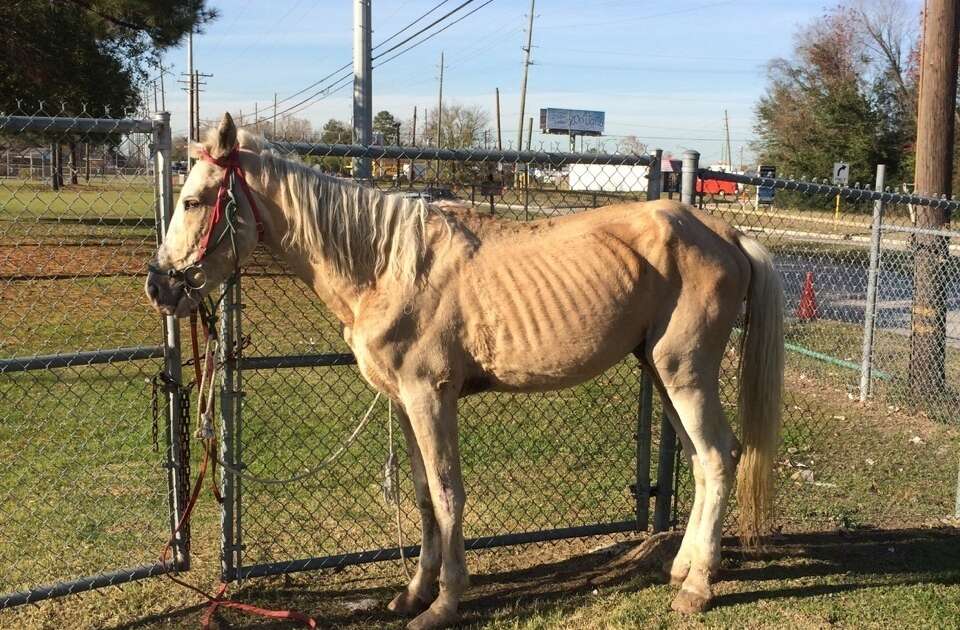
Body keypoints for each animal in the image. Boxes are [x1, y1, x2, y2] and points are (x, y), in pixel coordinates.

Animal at [145, 113, 783, 629]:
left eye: (195, 200)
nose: (159, 286)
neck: (386, 266)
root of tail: (728, 235)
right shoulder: (405, 402)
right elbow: (424, 495)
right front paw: (414, 592)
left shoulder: (431, 397)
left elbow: (448, 492)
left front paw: (445, 603)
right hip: (659, 372)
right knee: (702, 462)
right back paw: (682, 567)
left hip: (685, 373)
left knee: (718, 457)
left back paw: (698, 587)